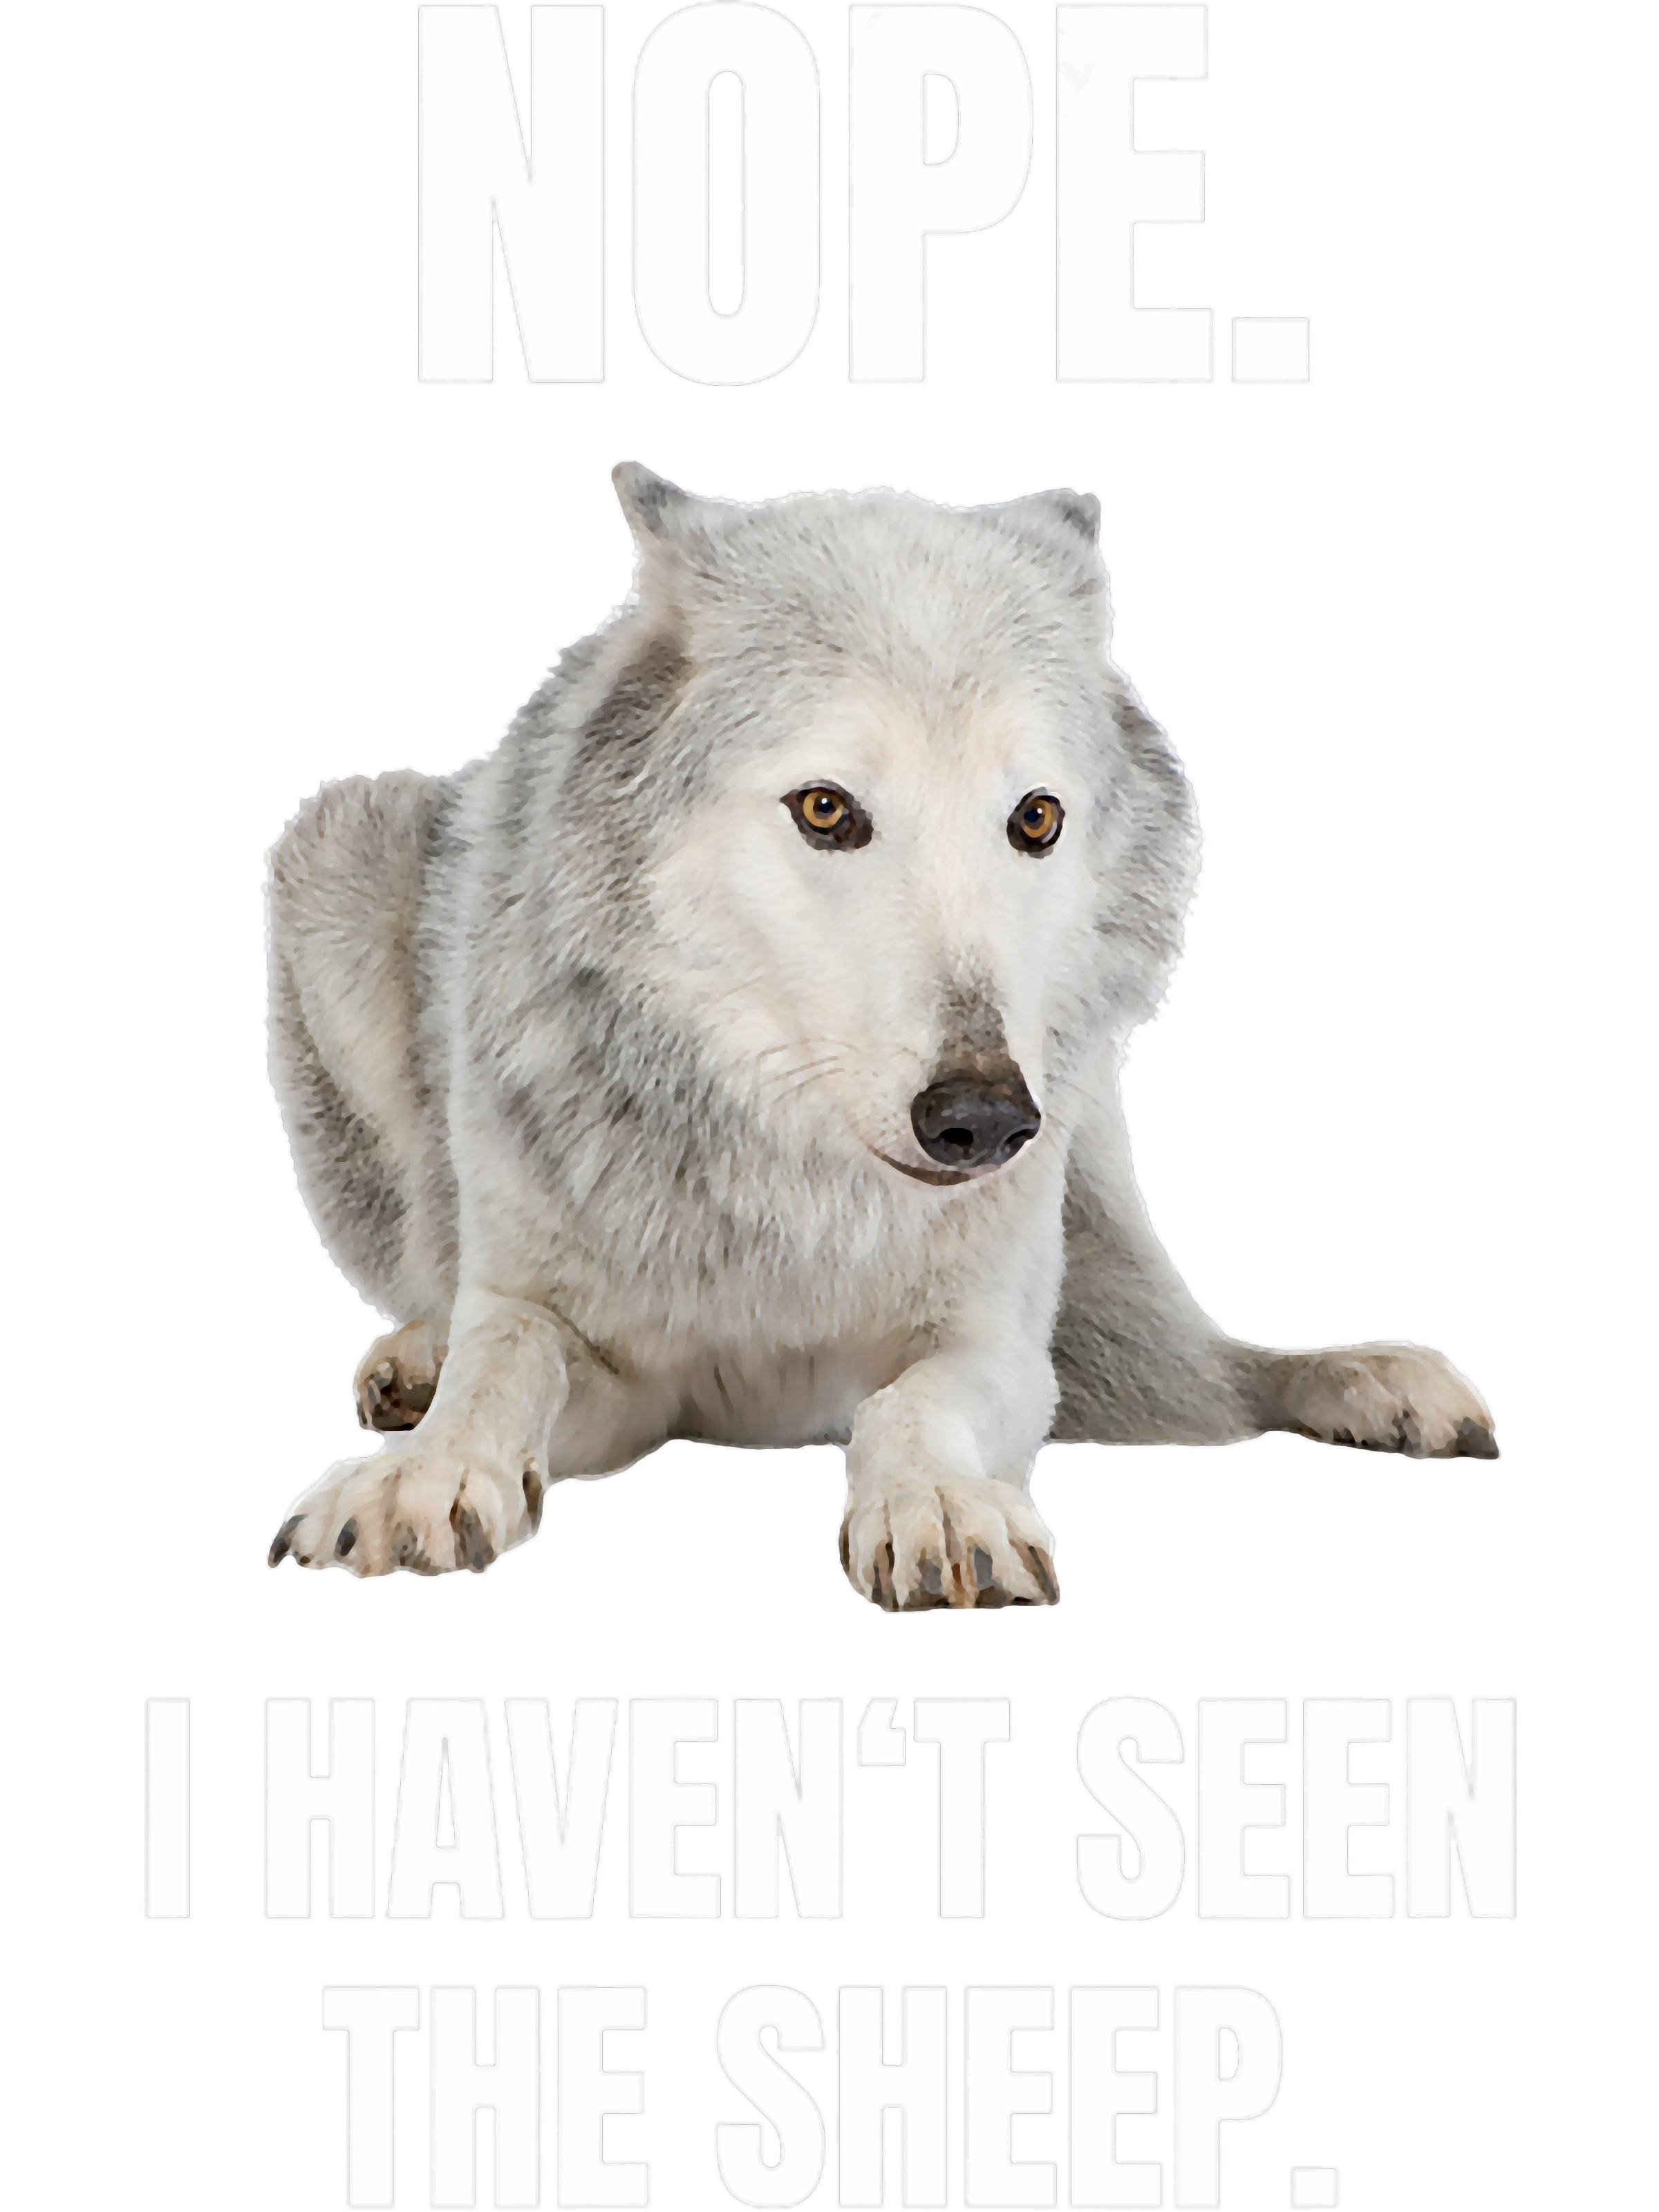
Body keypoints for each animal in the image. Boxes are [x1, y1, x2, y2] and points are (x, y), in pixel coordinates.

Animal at [263, 462, 1497, 1607]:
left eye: (1035, 819)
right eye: (826, 810)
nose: (984, 1118)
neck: (796, 1196)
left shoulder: (997, 1342)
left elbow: (911, 1401)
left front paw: (939, 1507)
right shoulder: (606, 1370)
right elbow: (506, 1358)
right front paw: (425, 1473)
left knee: (1213, 1369)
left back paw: (1379, 1380)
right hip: (339, 840)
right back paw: (415, 1360)